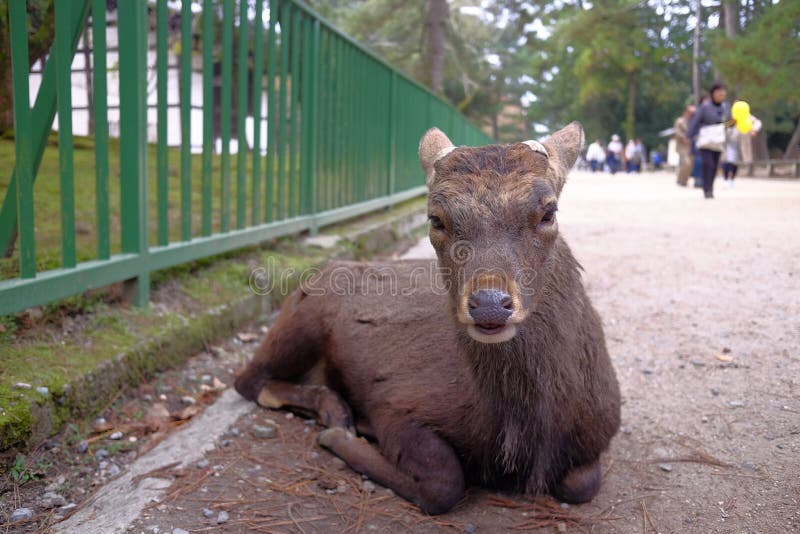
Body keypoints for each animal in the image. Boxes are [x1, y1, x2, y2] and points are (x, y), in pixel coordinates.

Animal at [234, 122, 621, 515]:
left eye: (548, 212)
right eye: (436, 219)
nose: (490, 304)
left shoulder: (600, 434)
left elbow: (582, 483)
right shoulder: (396, 398)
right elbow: (443, 482)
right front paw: (339, 434)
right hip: (301, 322)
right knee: (248, 378)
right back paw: (334, 411)